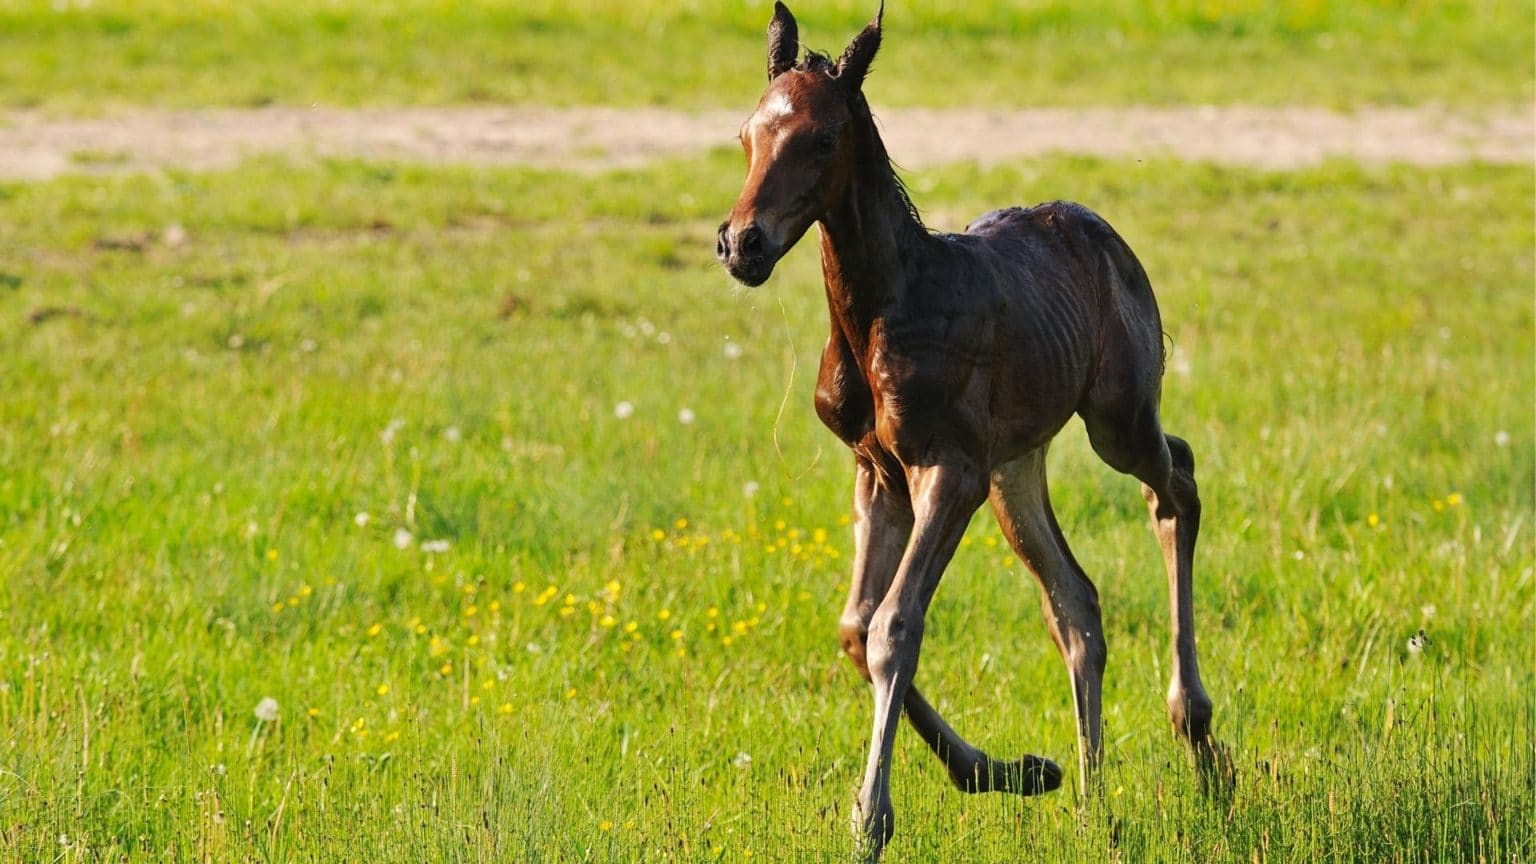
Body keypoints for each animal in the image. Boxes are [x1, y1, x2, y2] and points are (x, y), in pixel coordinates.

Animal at [716, 3, 1224, 858]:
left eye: (822, 139)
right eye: (748, 134)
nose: (740, 243)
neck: (883, 307)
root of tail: (1105, 235)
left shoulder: (946, 471)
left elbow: (893, 627)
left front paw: (871, 820)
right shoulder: (878, 473)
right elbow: (855, 628)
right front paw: (1012, 771)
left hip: (1114, 420)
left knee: (1178, 479)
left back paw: (1195, 729)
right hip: (1014, 470)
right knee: (1077, 603)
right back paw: (1090, 803)